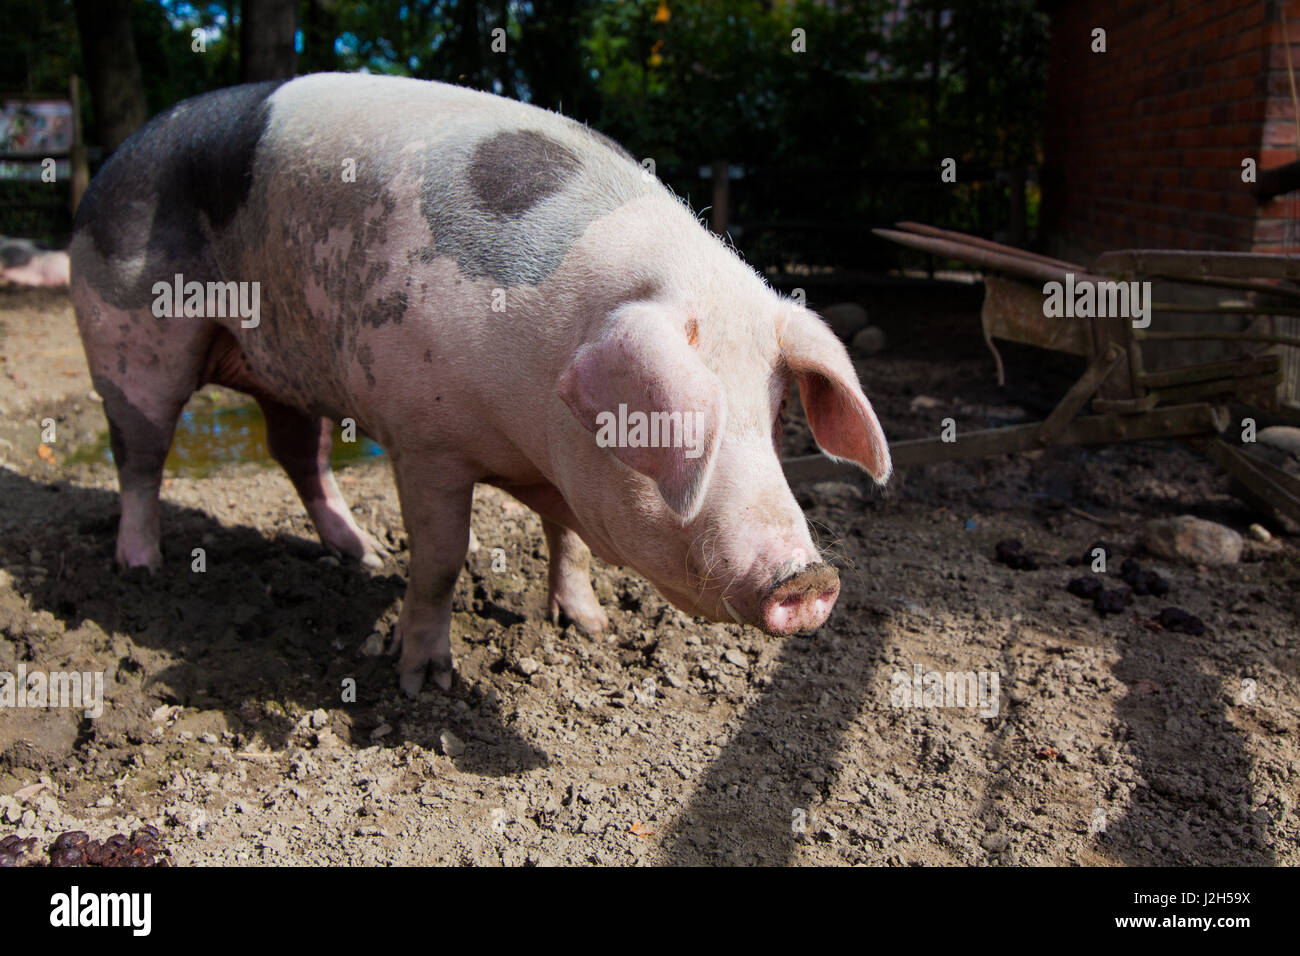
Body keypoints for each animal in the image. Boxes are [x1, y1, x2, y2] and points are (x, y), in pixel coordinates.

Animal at [69, 73, 891, 694]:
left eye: (775, 412)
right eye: (677, 429)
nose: (809, 579)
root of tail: (115, 159)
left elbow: (569, 542)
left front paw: (589, 625)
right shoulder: (423, 442)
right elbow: (442, 558)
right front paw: (424, 681)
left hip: (283, 371)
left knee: (297, 455)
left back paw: (361, 552)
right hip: (127, 338)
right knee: (140, 455)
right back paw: (142, 569)